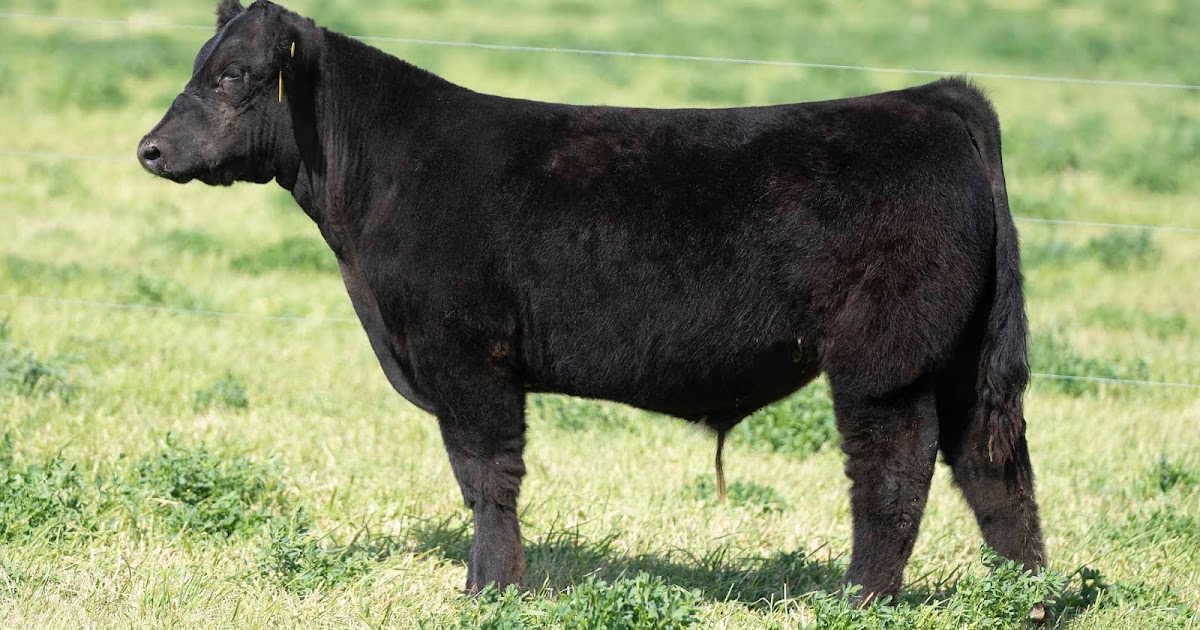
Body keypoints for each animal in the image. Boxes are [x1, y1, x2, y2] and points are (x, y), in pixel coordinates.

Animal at [137, 0, 1046, 604]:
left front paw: (490, 588)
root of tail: (931, 98)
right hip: (959, 360)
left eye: (234, 75)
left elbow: (486, 475)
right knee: (994, 463)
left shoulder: (465, 356)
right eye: (197, 66)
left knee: (895, 468)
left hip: (882, 364)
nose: (150, 149)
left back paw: (860, 598)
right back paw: (1024, 595)